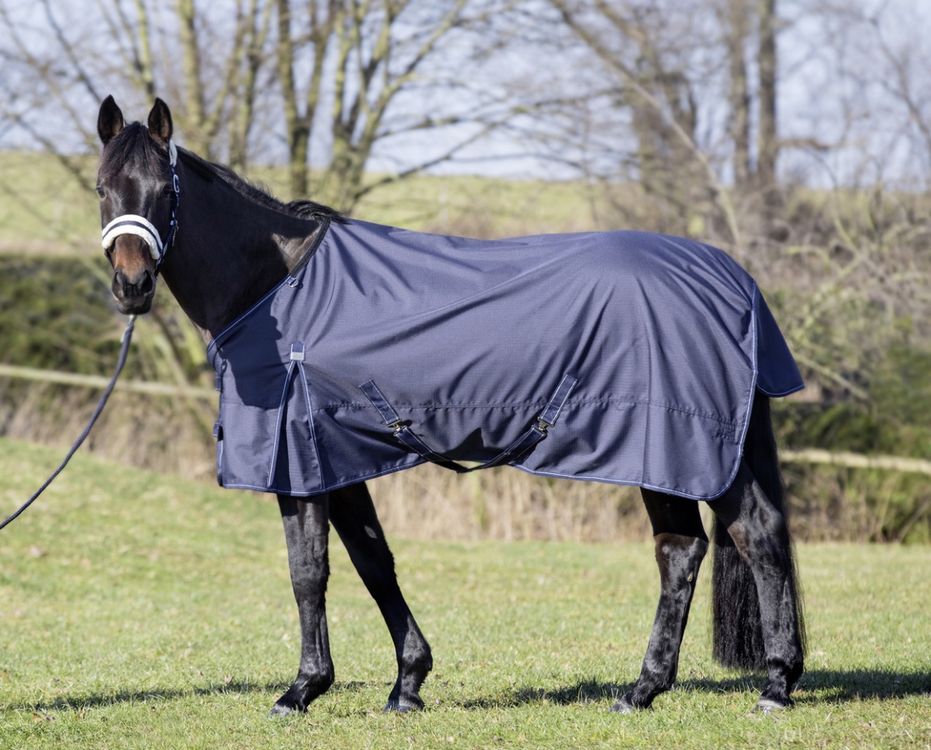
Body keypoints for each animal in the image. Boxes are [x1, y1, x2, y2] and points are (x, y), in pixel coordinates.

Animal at [93, 96, 805, 716]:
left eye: (164, 192)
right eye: (103, 188)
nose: (131, 287)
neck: (277, 286)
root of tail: (733, 279)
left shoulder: (297, 463)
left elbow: (308, 571)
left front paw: (300, 690)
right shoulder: (338, 461)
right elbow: (374, 563)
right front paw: (407, 684)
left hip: (682, 448)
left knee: (753, 538)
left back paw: (773, 685)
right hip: (669, 456)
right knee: (683, 551)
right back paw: (645, 689)